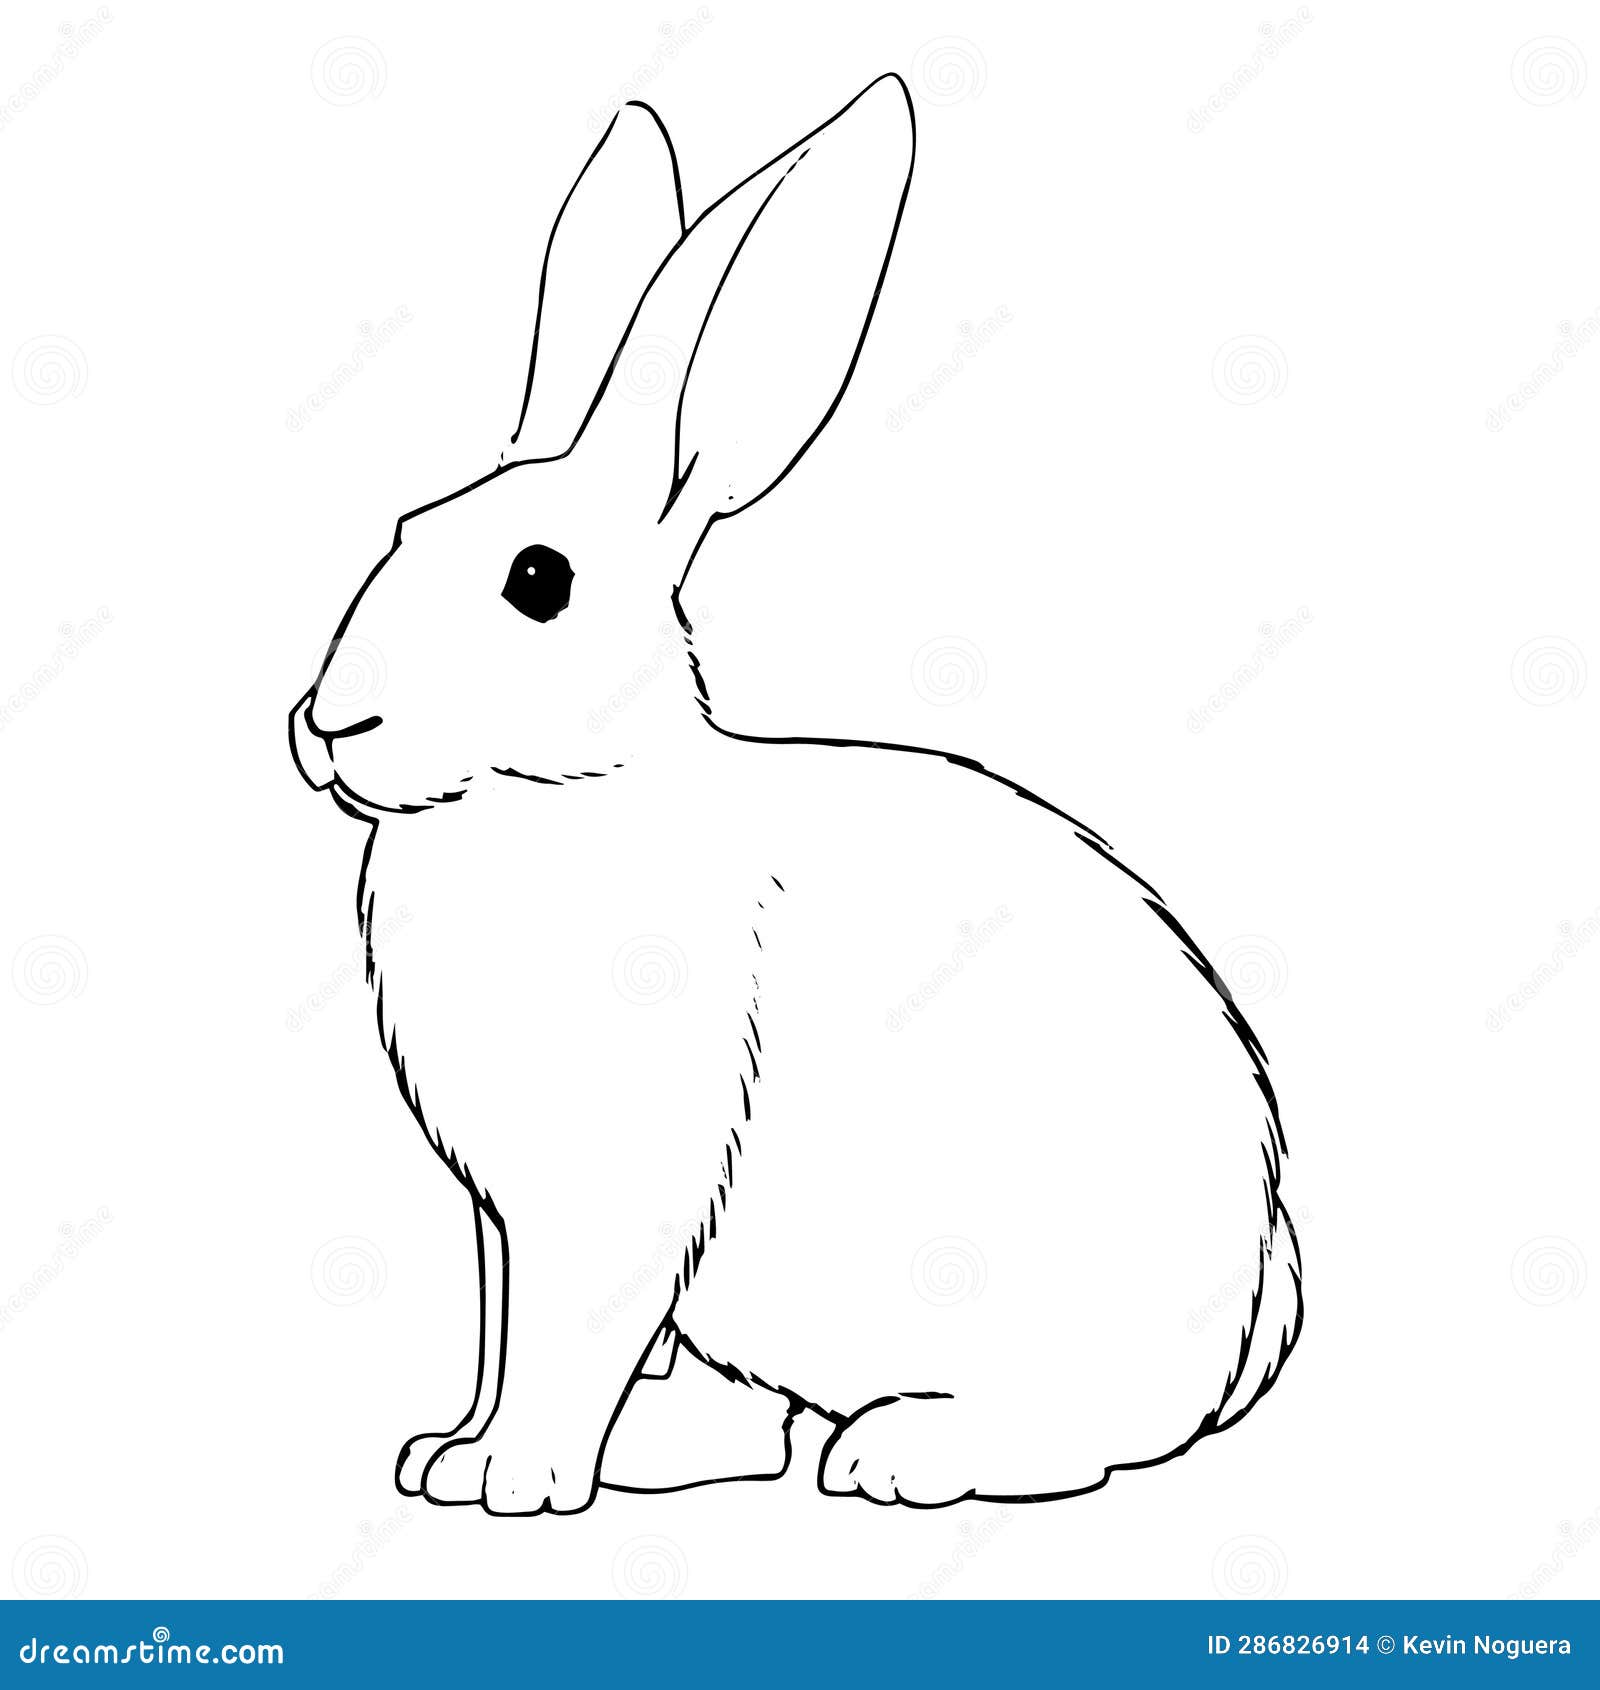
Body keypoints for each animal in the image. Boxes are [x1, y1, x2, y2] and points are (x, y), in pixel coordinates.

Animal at [288, 73, 1302, 1516]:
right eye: (403, 528)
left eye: (538, 580)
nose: (330, 723)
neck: (559, 794)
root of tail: (1266, 1282)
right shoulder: (499, 1207)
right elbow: (498, 1328)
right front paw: (448, 1454)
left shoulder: (611, 1191)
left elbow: (560, 1338)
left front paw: (518, 1478)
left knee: (1099, 1428)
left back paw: (897, 1451)